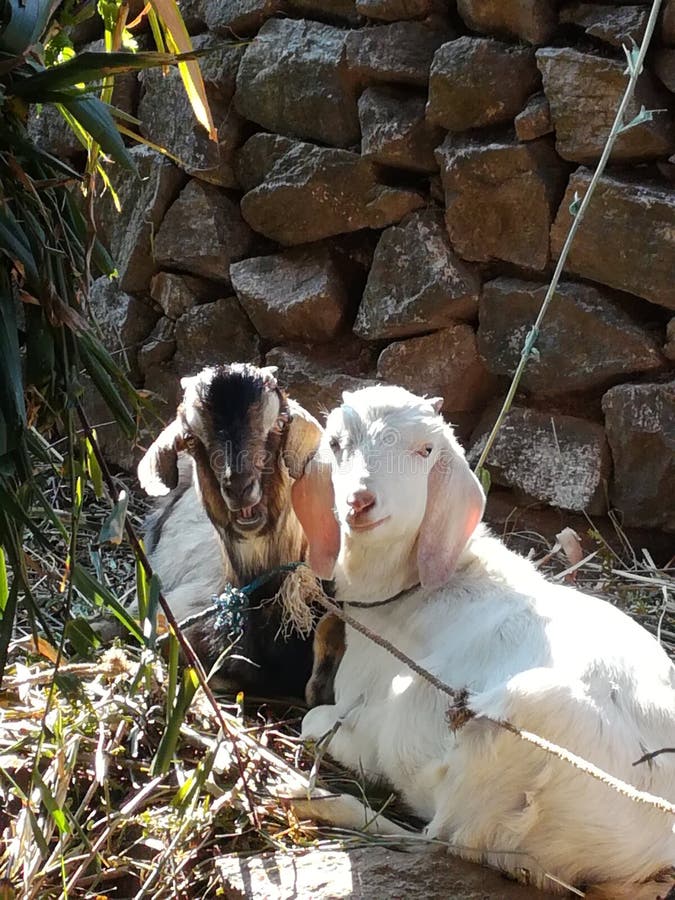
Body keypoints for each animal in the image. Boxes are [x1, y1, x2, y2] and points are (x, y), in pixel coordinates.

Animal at [290, 384, 675, 895]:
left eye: (425, 449)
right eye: (336, 443)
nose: (359, 502)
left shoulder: (365, 725)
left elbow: (317, 722)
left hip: (524, 718)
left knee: (442, 838)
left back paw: (308, 796)